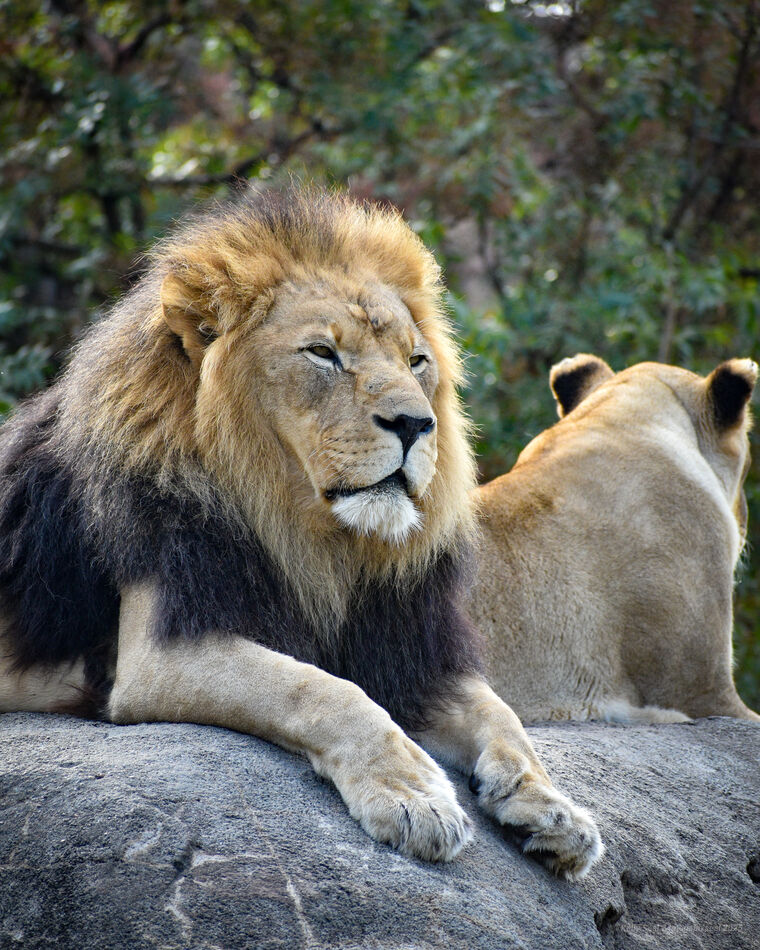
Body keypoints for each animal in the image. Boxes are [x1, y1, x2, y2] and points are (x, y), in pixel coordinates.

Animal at [0, 186, 601, 877]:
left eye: (416, 361)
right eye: (323, 353)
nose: (416, 424)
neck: (317, 543)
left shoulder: (408, 648)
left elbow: (501, 714)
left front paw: (551, 807)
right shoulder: (161, 656)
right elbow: (324, 690)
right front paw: (413, 795)